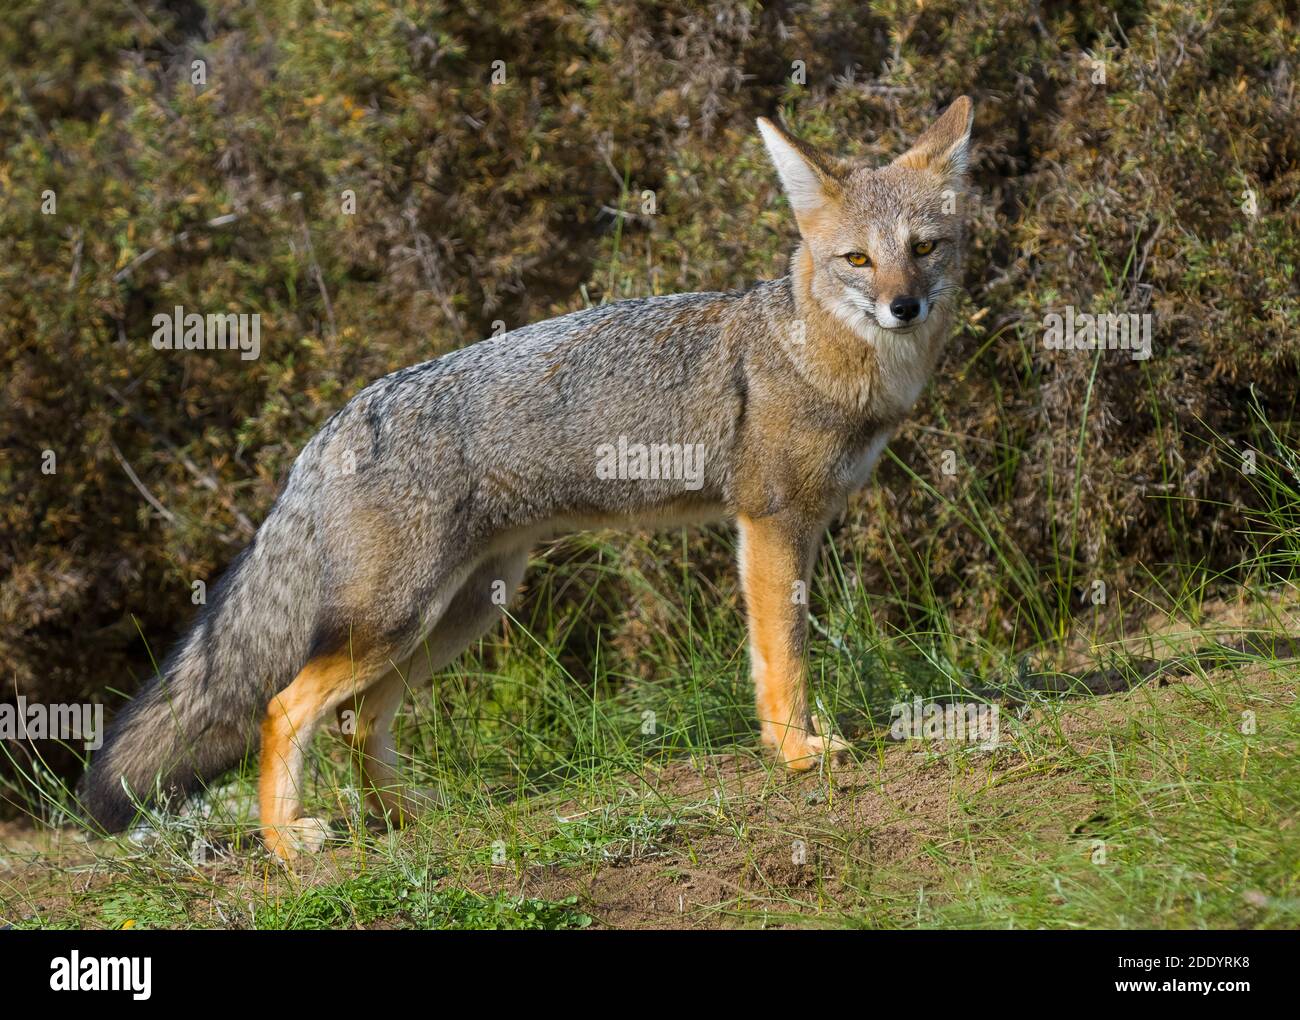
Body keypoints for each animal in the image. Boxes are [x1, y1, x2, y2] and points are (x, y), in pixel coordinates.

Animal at [79, 97, 975, 859]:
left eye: (924, 249)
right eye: (857, 258)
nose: (904, 307)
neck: (819, 355)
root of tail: (336, 422)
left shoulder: (804, 525)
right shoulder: (770, 523)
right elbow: (781, 657)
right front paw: (796, 752)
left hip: (464, 612)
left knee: (358, 722)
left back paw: (405, 816)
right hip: (398, 619)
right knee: (282, 707)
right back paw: (286, 841)